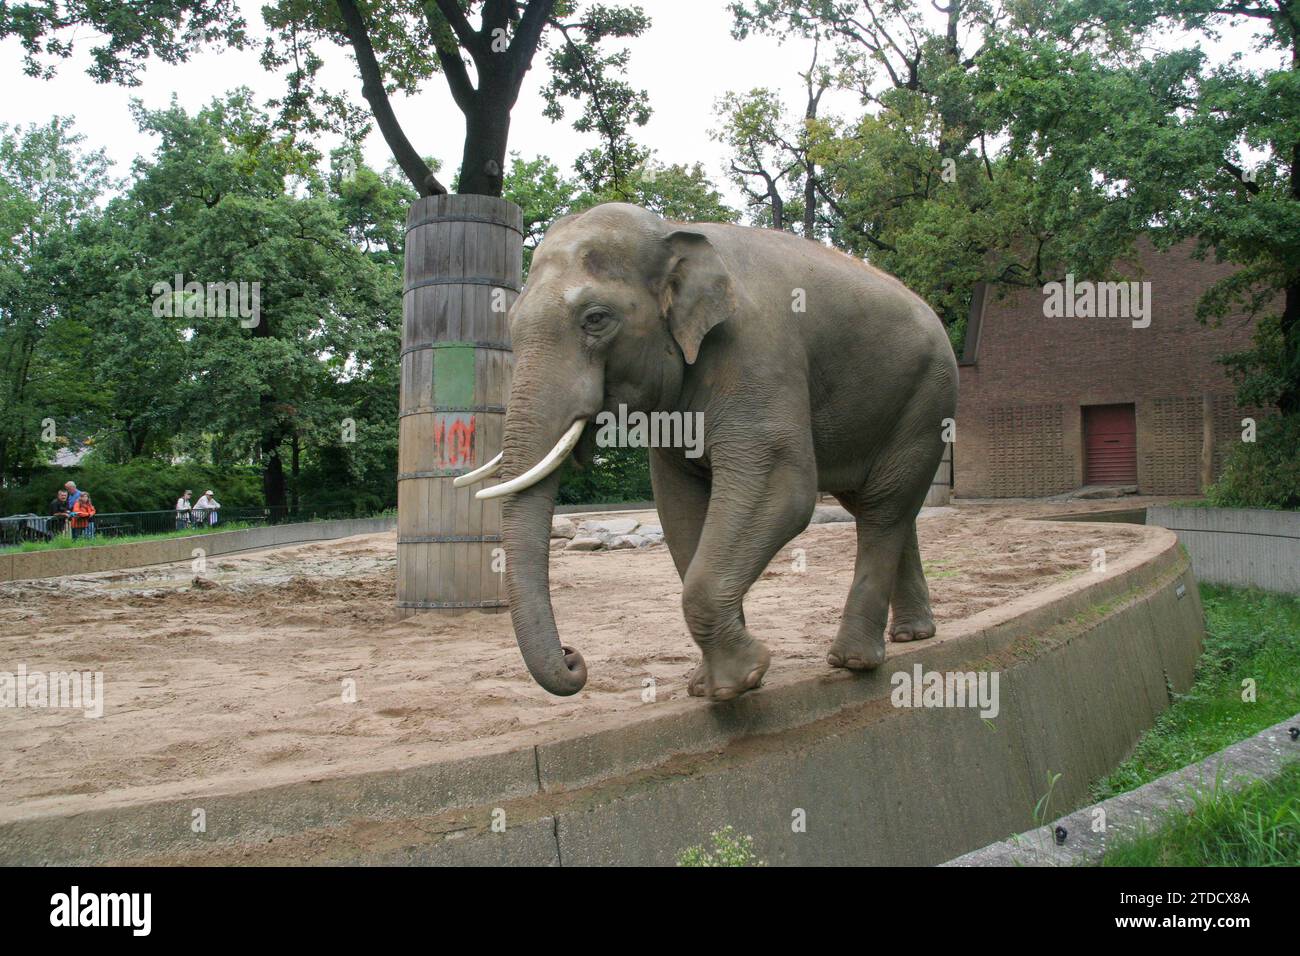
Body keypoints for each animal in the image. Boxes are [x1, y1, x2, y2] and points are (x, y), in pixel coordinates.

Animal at [456, 203, 958, 701]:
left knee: (884, 506)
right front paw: (715, 685)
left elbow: (783, 489)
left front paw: (736, 681)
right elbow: (679, 507)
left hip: (929, 398)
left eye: (595, 318)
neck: (673, 231)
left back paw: (853, 660)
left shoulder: (756, 353)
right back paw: (911, 635)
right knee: (881, 505)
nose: (572, 657)